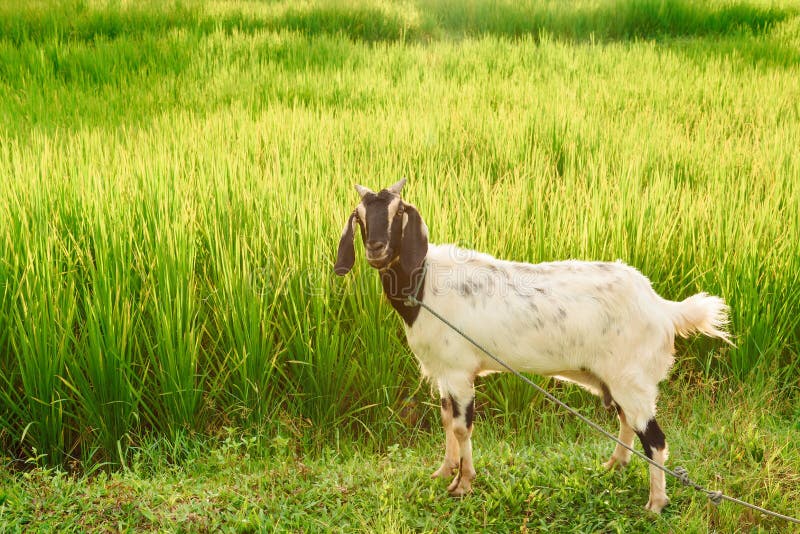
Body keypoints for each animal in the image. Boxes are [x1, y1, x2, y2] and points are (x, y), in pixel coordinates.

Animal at [334, 178, 731, 513]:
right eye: (359, 216)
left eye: (399, 212)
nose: (376, 249)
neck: (424, 283)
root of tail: (661, 307)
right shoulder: (444, 373)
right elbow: (446, 420)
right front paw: (444, 471)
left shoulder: (460, 372)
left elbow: (462, 427)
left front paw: (463, 484)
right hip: (618, 378)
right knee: (626, 422)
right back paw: (615, 465)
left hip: (631, 378)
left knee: (655, 439)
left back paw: (655, 504)